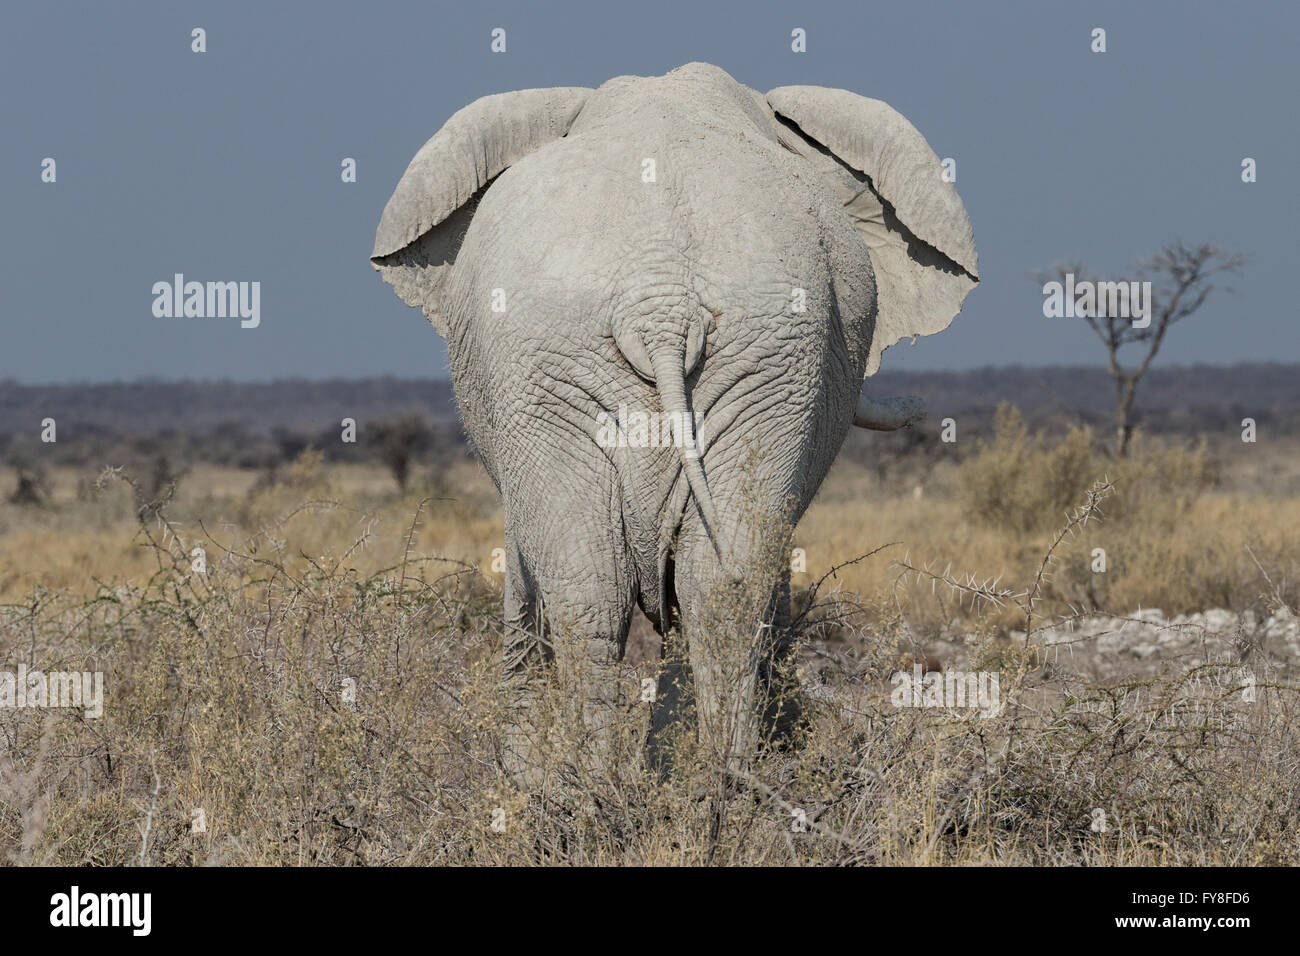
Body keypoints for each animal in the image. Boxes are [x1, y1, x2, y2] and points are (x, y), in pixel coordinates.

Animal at [371, 62, 977, 774]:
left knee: (620, 586)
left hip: (723, 357)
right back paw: (709, 781)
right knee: (701, 583)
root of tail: (662, 306)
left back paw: (609, 784)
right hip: (690, 355)